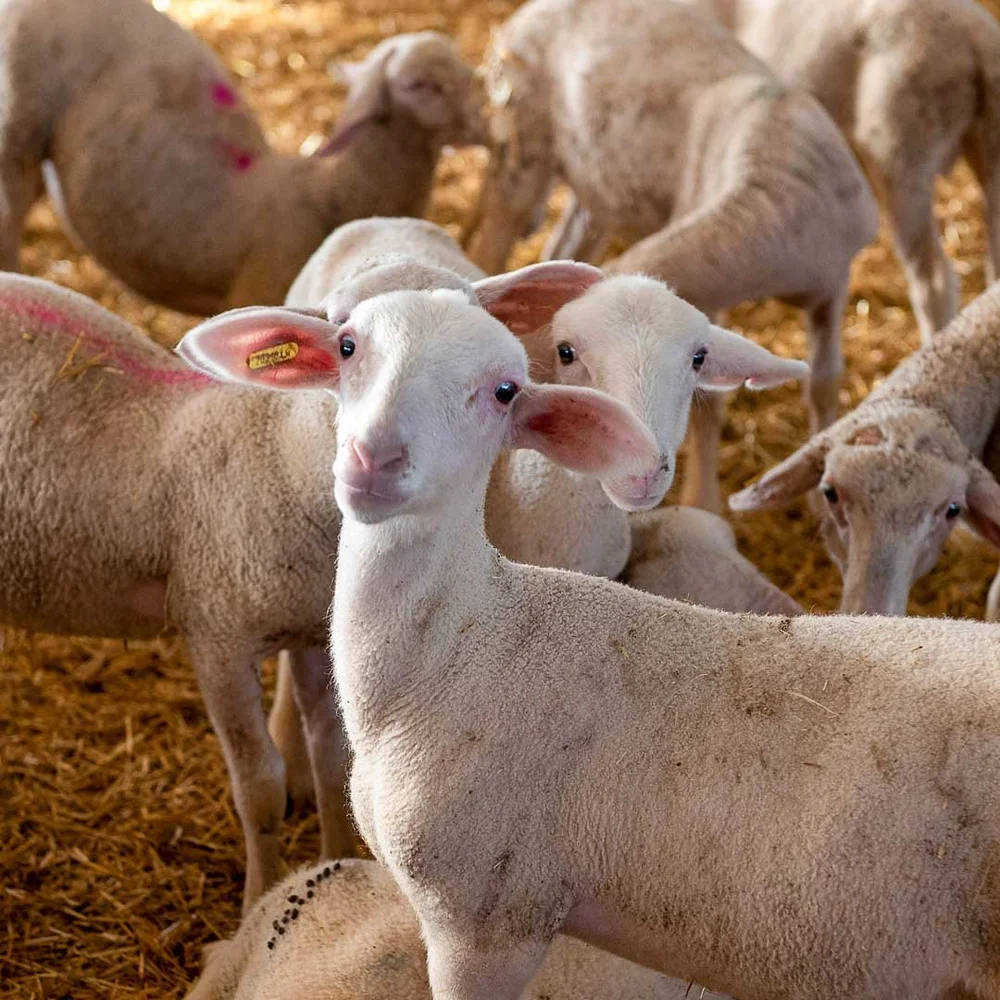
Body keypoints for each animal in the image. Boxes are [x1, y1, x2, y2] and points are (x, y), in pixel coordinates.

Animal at [0, 0, 482, 312]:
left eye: (465, 74)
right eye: (421, 85)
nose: (482, 123)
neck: (332, 193)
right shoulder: (259, 293)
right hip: (17, 130)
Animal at [464, 0, 878, 510]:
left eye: (699, 358)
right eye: (567, 352)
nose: (636, 468)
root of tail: (529, 12)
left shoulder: (833, 283)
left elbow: (824, 382)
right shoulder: (715, 286)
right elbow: (712, 408)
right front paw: (705, 502)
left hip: (596, 184)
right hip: (522, 134)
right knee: (498, 227)